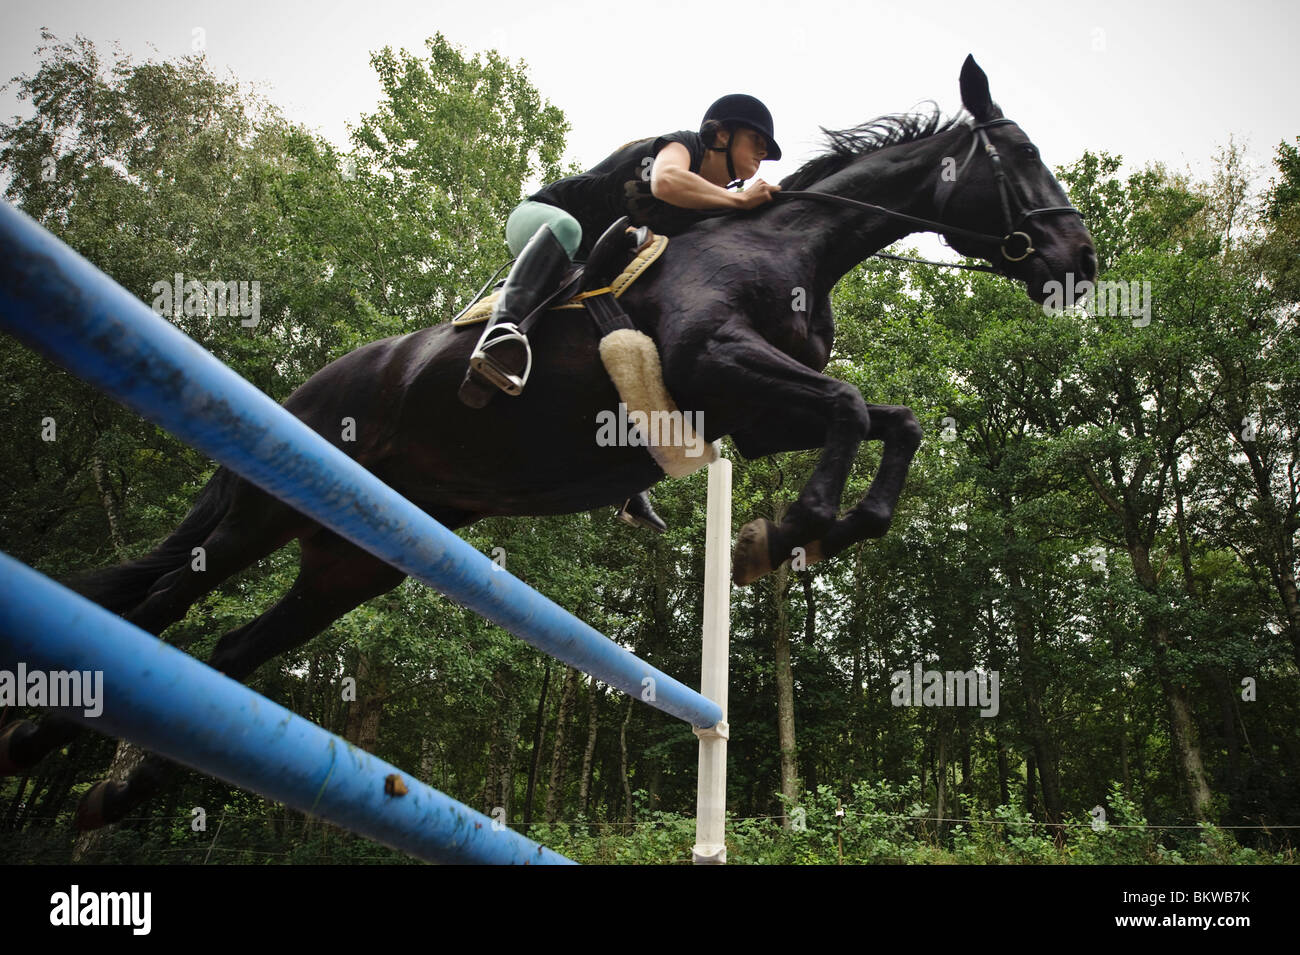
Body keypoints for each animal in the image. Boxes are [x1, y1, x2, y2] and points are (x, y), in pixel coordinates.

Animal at [0, 55, 1094, 828]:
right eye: (1020, 157)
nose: (1082, 262)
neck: (789, 245)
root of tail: (314, 378)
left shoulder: (748, 411)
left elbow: (885, 418)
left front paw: (809, 531)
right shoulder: (718, 362)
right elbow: (852, 407)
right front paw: (786, 534)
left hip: (353, 557)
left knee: (235, 644)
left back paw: (115, 787)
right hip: (268, 496)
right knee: (166, 597)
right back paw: (42, 737)